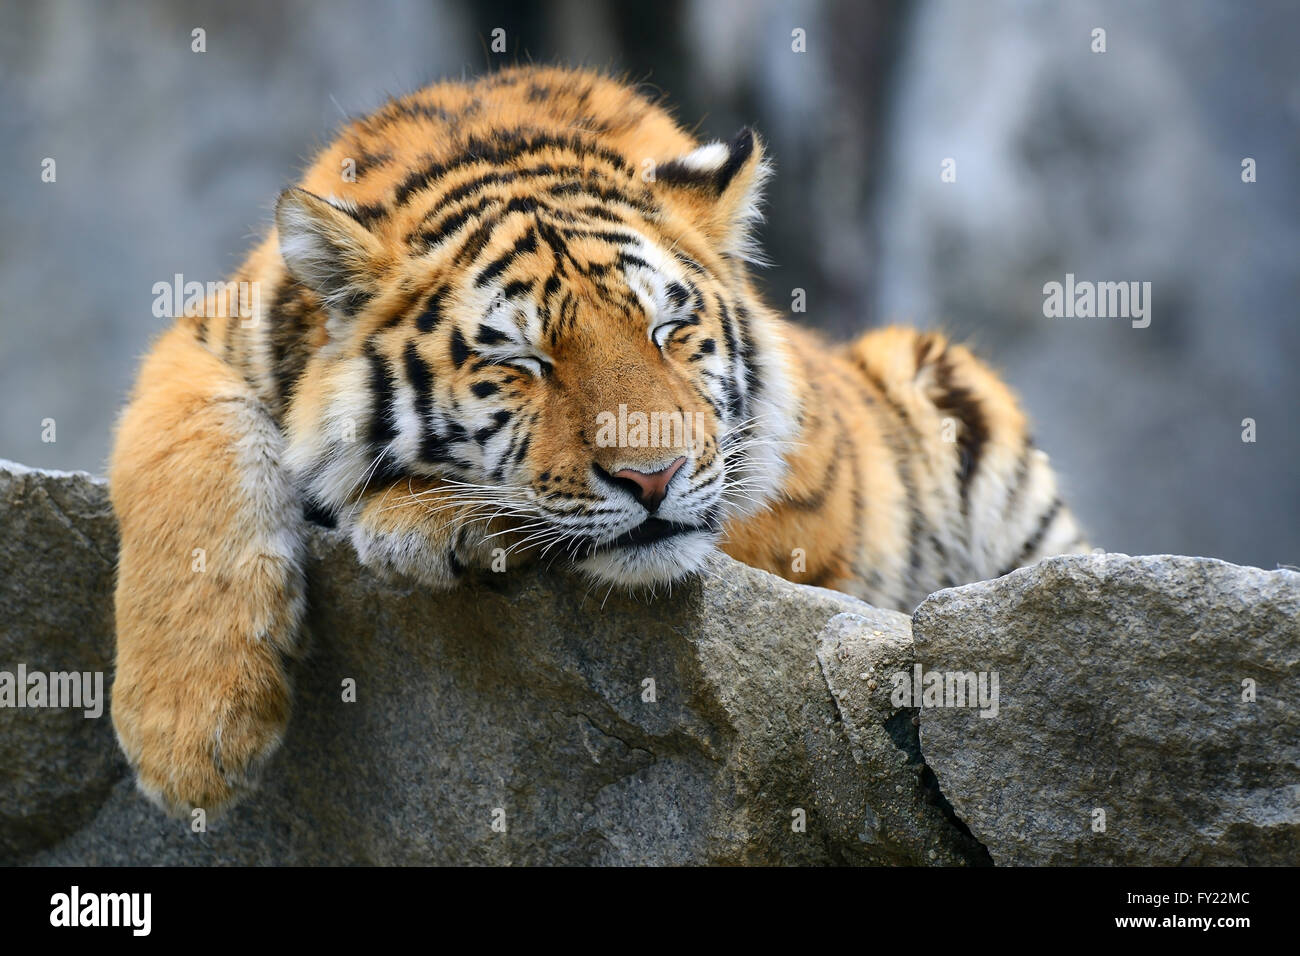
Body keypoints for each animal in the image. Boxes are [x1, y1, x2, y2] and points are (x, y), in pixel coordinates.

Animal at [108, 65, 1088, 815]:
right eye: (523, 361)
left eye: (668, 331)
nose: (652, 479)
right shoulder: (203, 337)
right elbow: (177, 465)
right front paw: (189, 736)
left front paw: (421, 518)